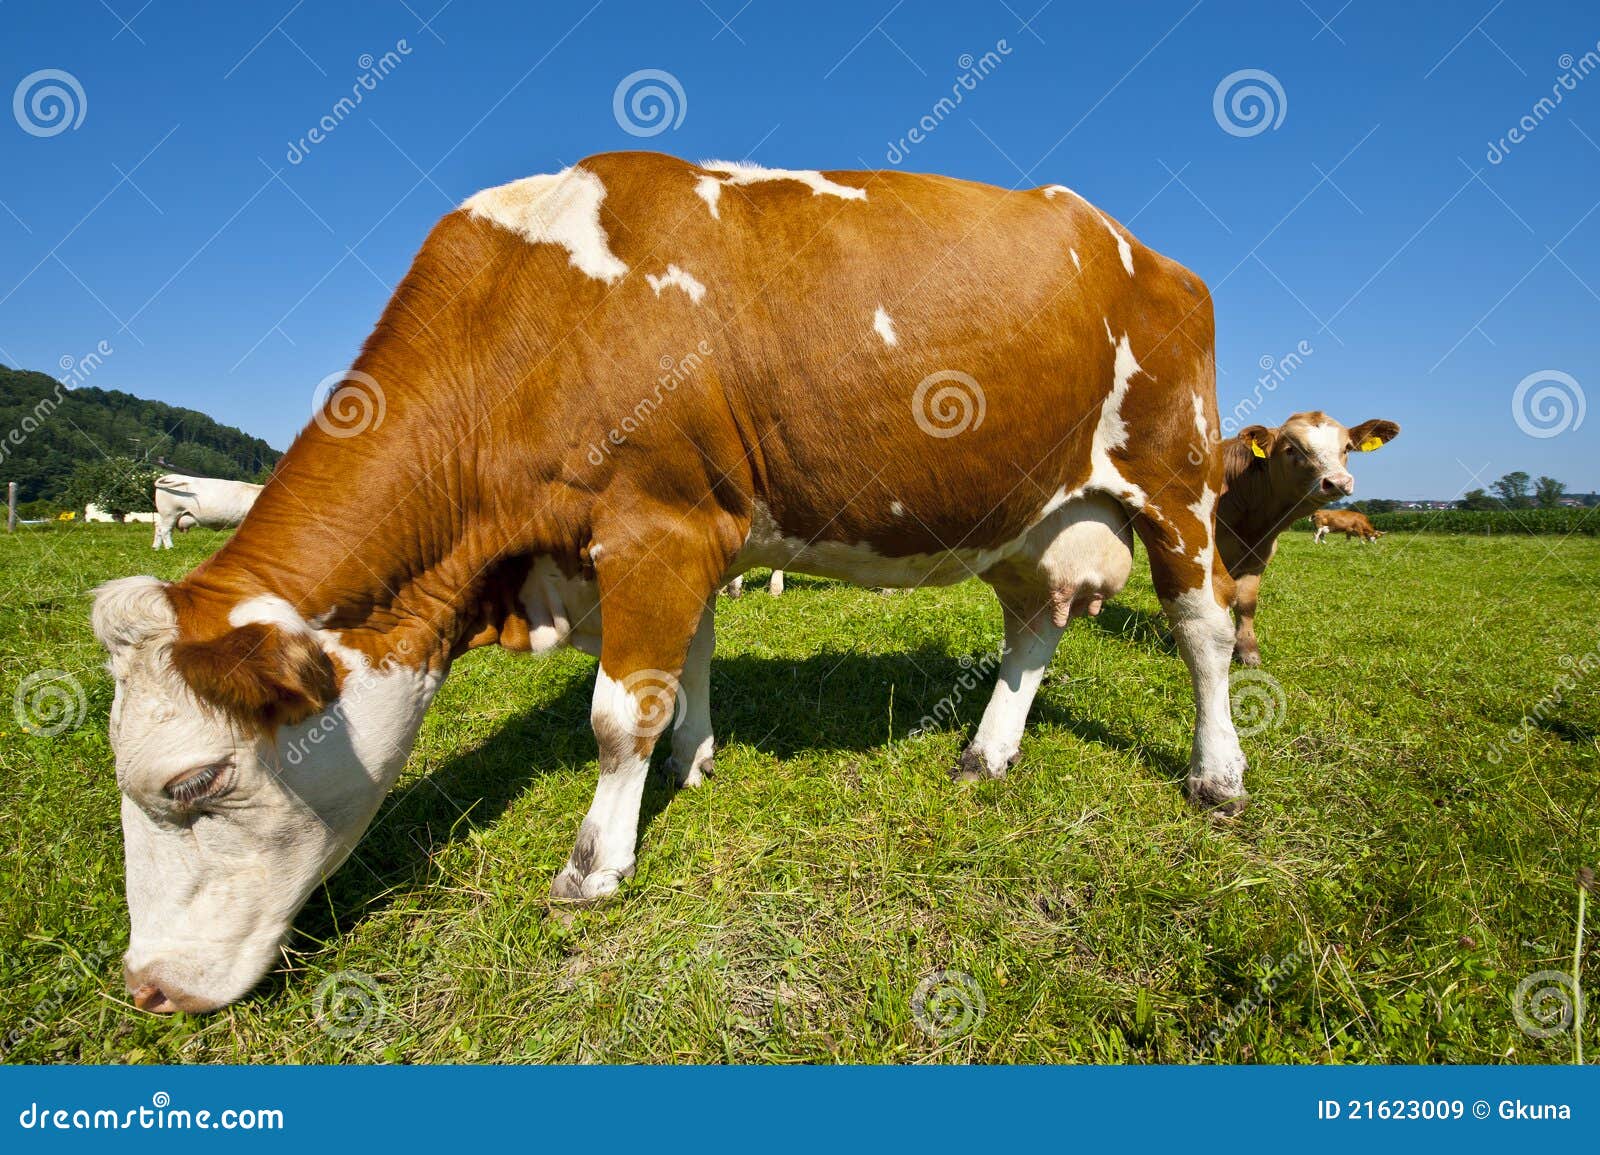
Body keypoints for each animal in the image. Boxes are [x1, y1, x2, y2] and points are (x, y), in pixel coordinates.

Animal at [92, 151, 1244, 1013]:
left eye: (193, 782)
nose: (144, 987)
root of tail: (1143, 249)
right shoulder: (677, 538)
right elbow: (682, 664)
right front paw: (693, 759)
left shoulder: (655, 522)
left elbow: (616, 713)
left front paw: (594, 864)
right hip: (1024, 515)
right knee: (1034, 626)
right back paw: (986, 753)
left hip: (1176, 475)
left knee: (1205, 628)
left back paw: (1218, 773)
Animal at [1216, 413, 1399, 666]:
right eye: (1291, 449)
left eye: (1347, 448)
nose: (1338, 481)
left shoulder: (1257, 561)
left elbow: (1246, 604)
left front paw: (1248, 652)